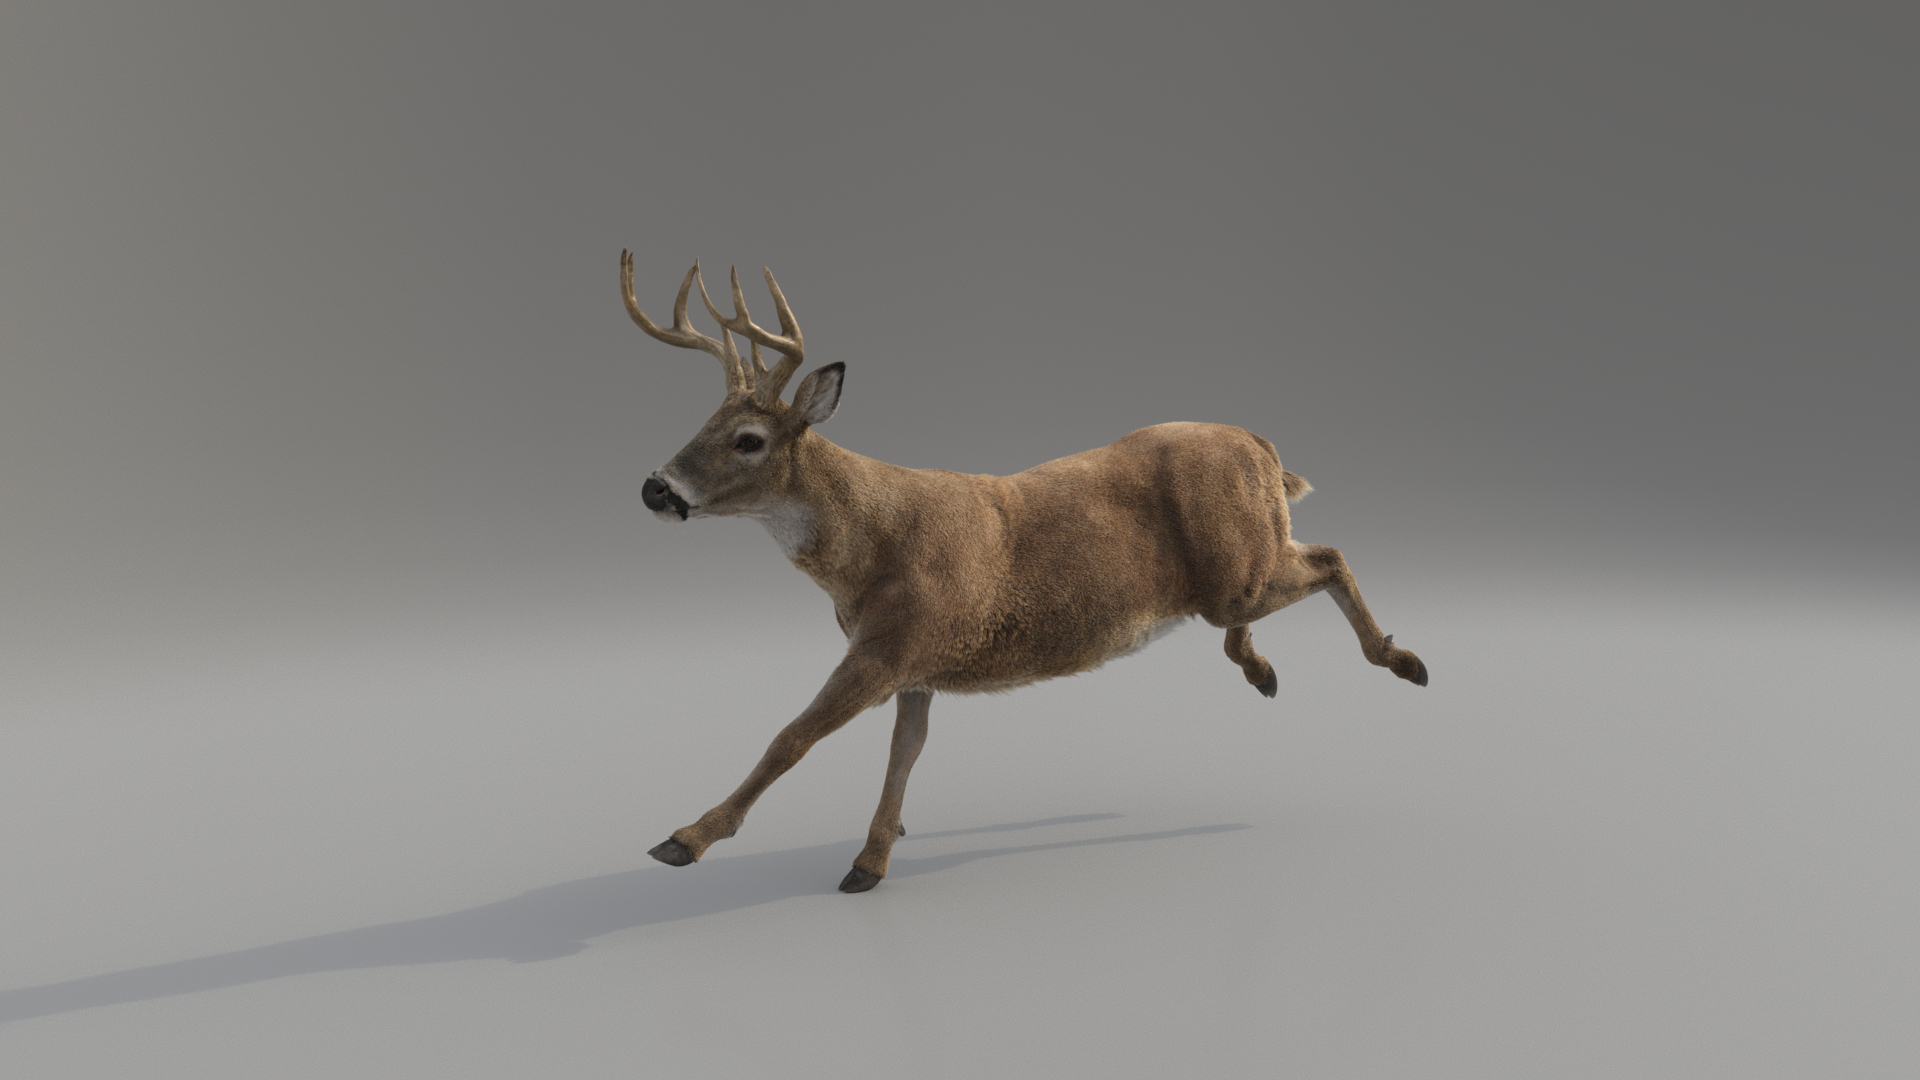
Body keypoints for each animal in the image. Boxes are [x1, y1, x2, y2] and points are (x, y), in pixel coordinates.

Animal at [621, 250, 1429, 893]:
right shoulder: (915, 660)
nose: (657, 488)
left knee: (1328, 558)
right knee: (1278, 588)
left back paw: (1402, 661)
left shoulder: (891, 645)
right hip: (1237, 573)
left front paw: (685, 839)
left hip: (1240, 569)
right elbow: (903, 756)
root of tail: (1262, 444)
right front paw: (872, 860)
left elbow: (791, 737)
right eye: (702, 423)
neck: (867, 549)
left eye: (748, 439)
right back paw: (1263, 670)